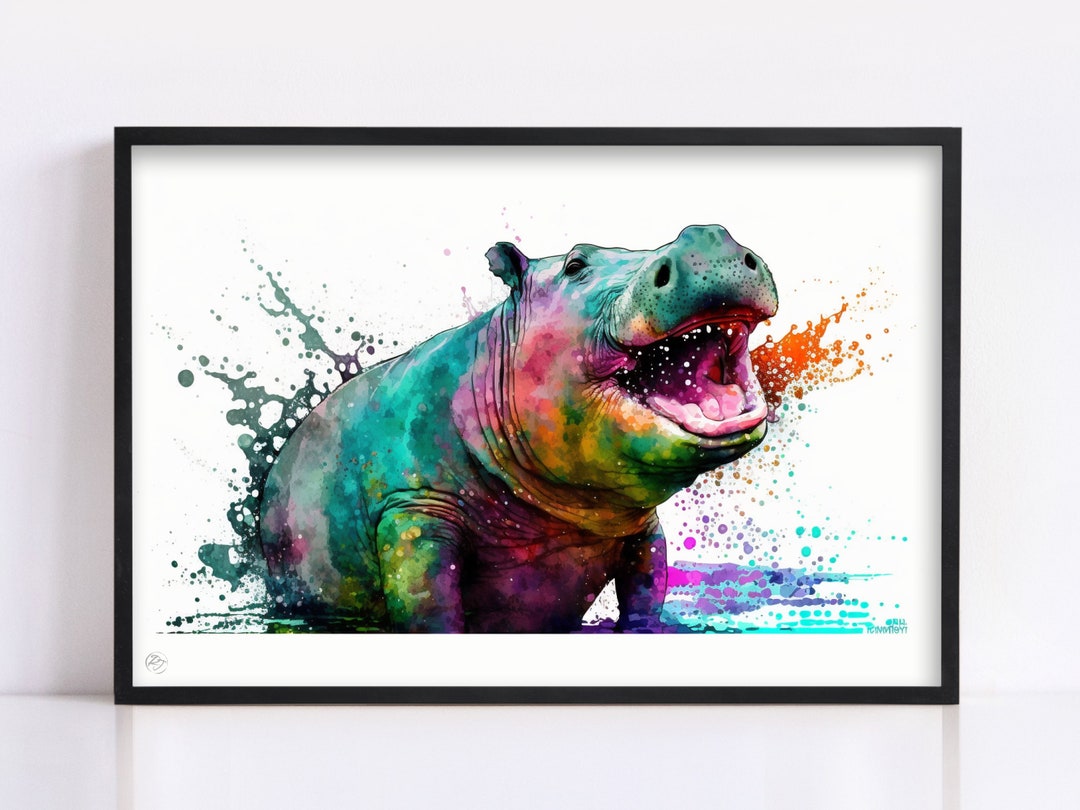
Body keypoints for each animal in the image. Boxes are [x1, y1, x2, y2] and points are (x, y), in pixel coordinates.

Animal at [259, 225, 778, 632]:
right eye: (574, 264)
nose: (706, 237)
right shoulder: (412, 513)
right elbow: (430, 608)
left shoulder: (641, 525)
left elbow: (646, 590)